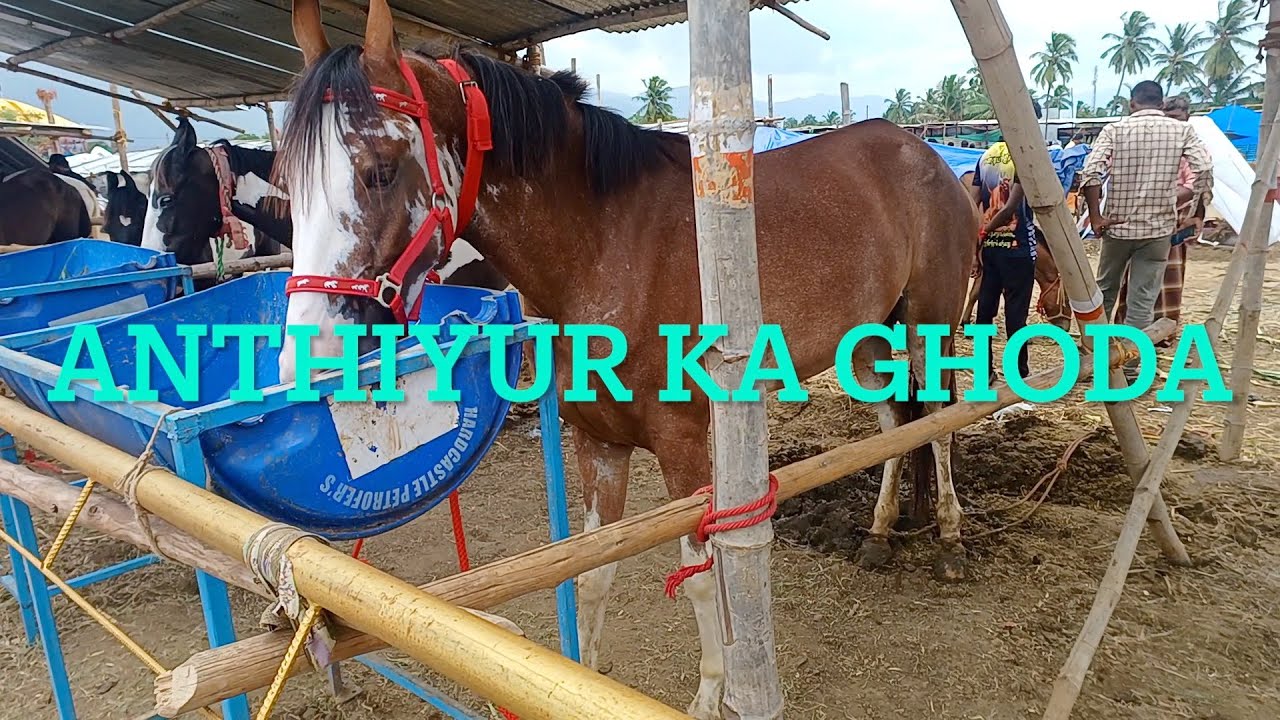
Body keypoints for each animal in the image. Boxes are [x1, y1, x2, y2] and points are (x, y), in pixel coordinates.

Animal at [279, 2, 975, 717]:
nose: (307, 353)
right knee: (895, 425)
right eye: (287, 181)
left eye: (380, 169)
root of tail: (925, 153)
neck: (609, 249)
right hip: (864, 340)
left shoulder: (684, 448)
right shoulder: (600, 445)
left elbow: (701, 576)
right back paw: (880, 534)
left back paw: (949, 540)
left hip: (931, 325)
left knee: (940, 425)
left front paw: (711, 694)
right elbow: (592, 574)